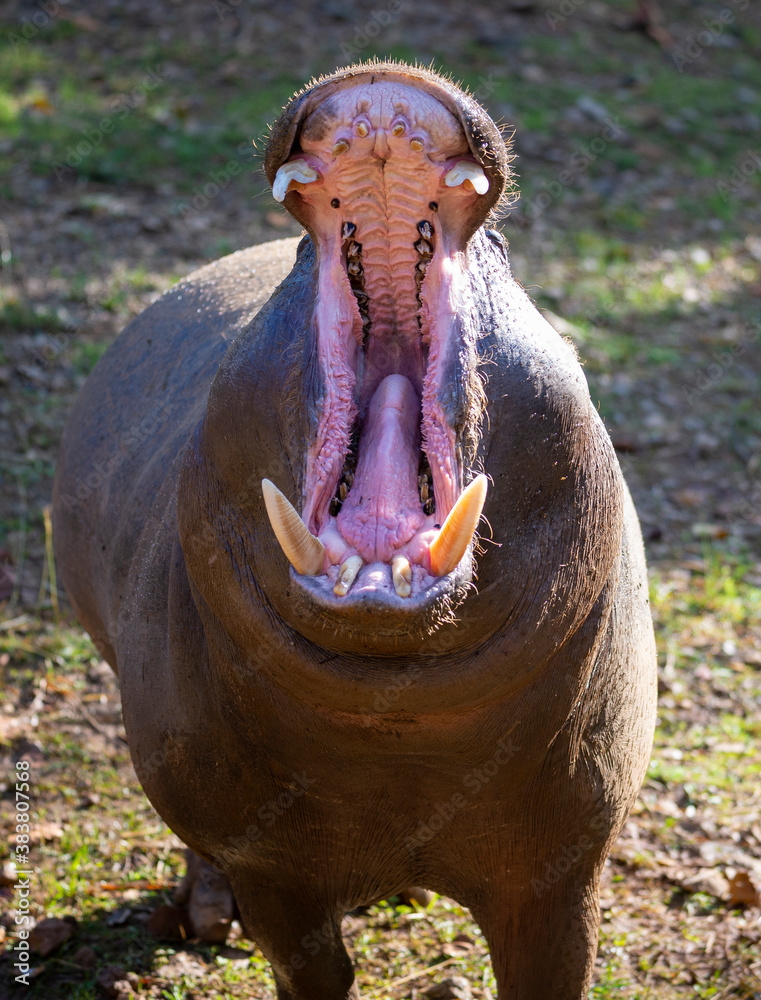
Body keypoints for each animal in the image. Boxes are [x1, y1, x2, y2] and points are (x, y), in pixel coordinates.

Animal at [53, 61, 657, 999]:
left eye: (502, 251)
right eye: (301, 262)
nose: (384, 82)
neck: (391, 719)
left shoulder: (561, 868)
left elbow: (549, 969)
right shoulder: (273, 871)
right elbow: (313, 969)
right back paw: (203, 920)